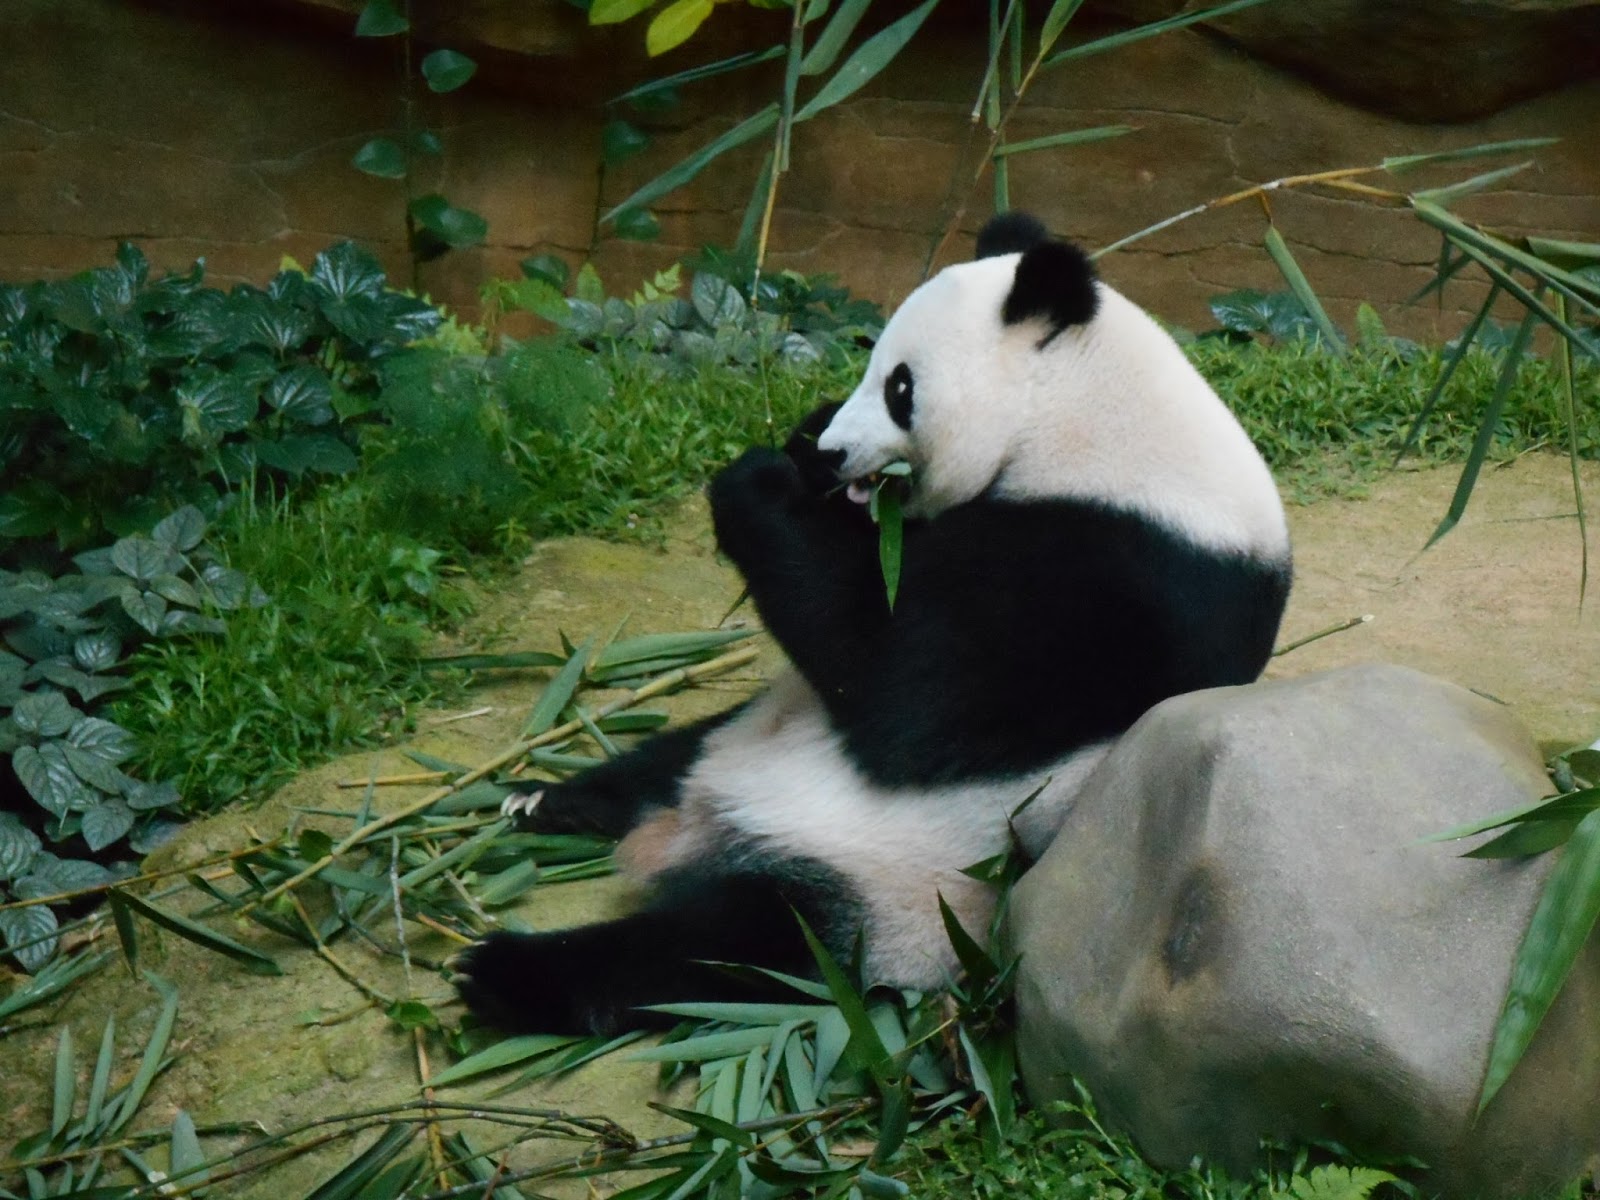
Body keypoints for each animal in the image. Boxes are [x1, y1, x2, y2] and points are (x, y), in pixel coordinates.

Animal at [454, 212, 1292, 1036]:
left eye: (900, 386)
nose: (834, 451)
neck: (1091, 418)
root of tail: (702, 829)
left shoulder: (1122, 577)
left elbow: (908, 697)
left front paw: (759, 479)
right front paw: (804, 441)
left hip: (897, 894)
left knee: (728, 949)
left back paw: (507, 974)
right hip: (750, 730)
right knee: (666, 757)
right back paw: (547, 801)